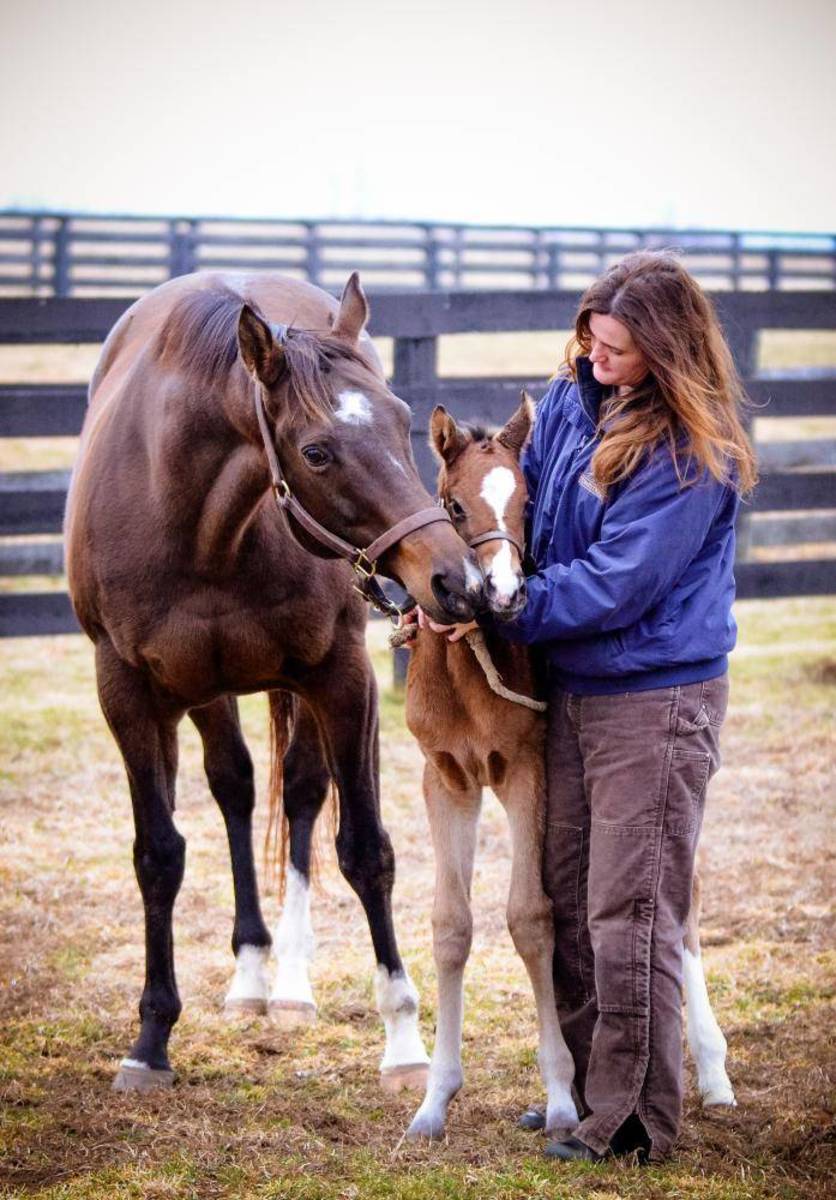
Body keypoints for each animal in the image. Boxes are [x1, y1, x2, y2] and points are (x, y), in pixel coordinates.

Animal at [64, 270, 485, 1095]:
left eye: (402, 420)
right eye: (317, 452)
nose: (454, 580)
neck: (200, 526)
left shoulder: (341, 677)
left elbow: (365, 850)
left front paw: (404, 1041)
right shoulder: (126, 694)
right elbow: (157, 855)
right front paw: (150, 1039)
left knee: (299, 794)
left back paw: (287, 981)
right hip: (207, 693)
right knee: (236, 788)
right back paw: (253, 973)